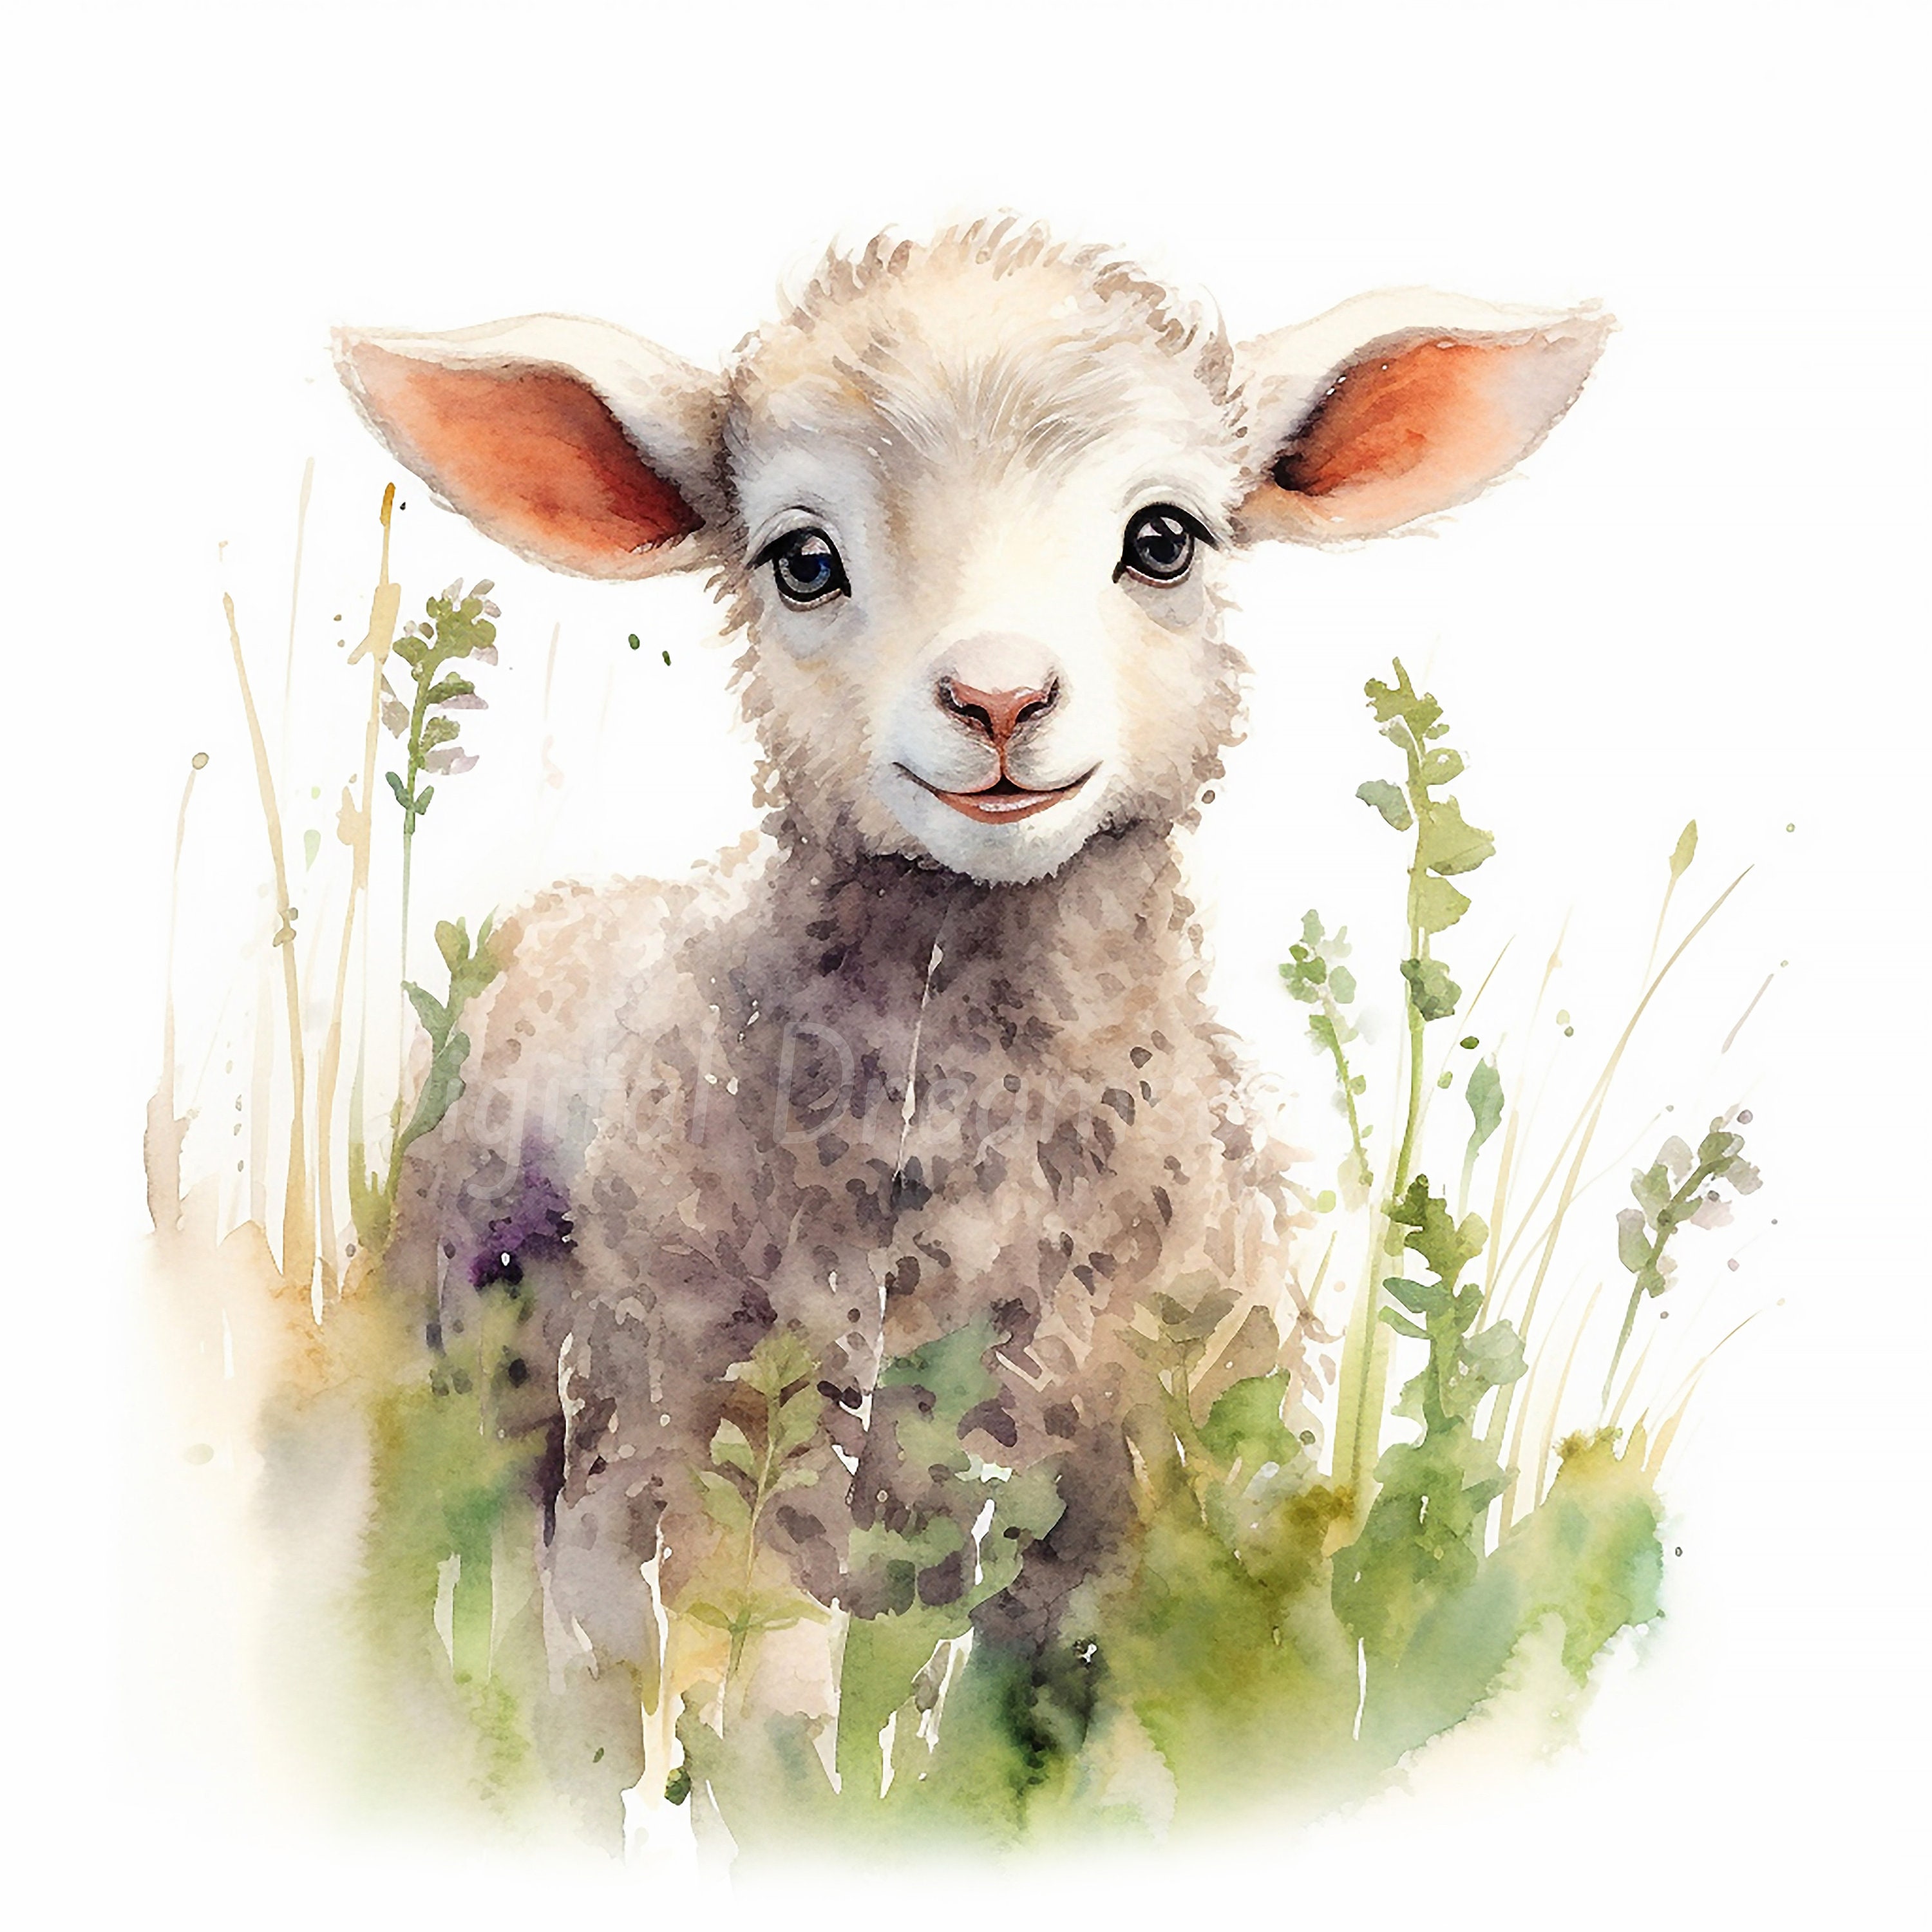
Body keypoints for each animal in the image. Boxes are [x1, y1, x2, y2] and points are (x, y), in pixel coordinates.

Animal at [336, 216, 1607, 1812]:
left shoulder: (1154, 1516)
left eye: (1165, 538)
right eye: (803, 560)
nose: (998, 701)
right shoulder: (717, 1480)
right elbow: (766, 1744)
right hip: (482, 1380)